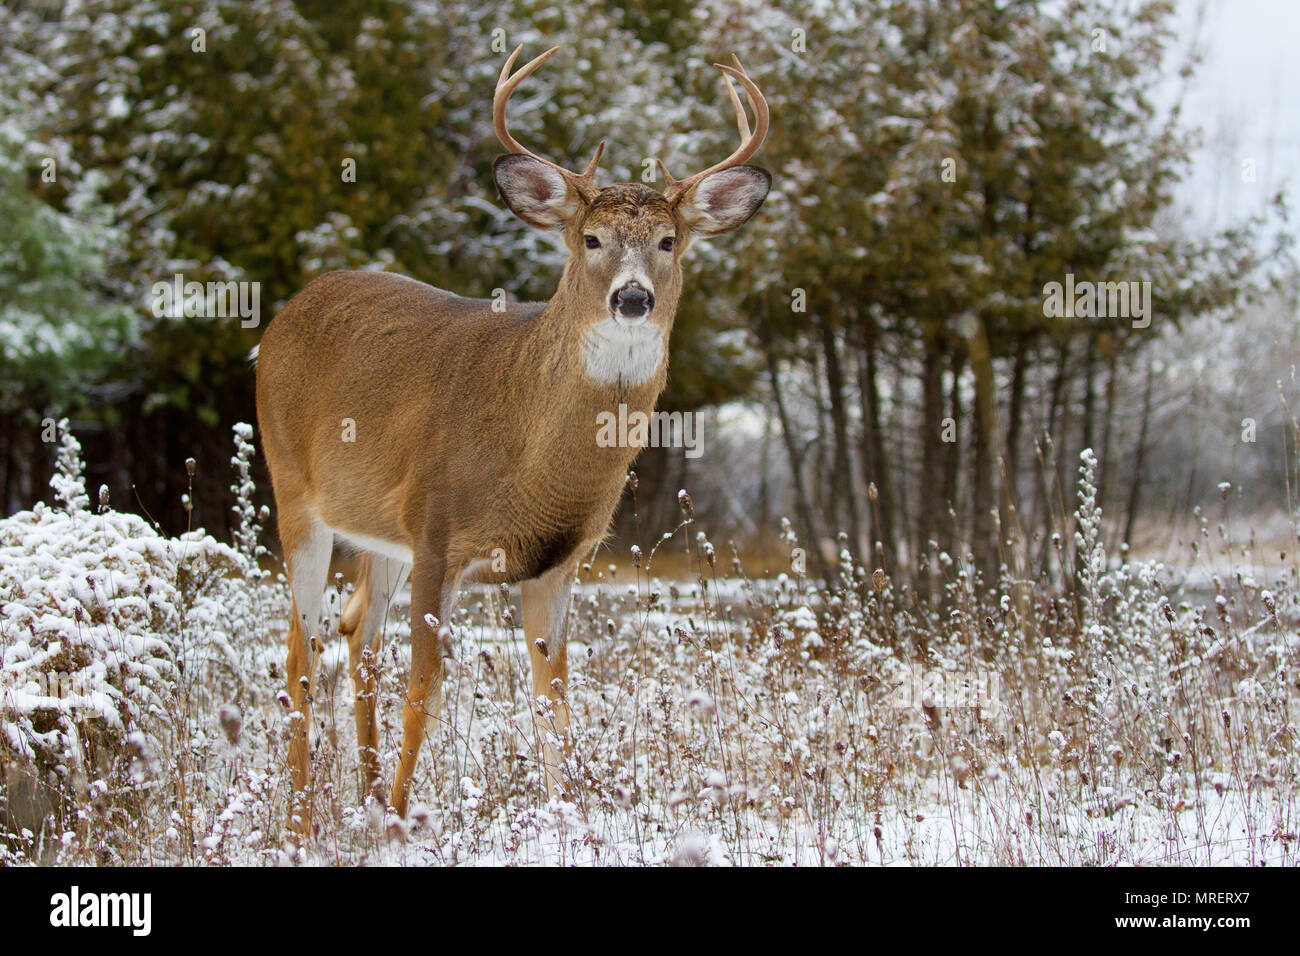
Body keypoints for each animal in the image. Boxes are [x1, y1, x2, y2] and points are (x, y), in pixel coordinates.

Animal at [255, 44, 770, 835]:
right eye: (590, 238)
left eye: (668, 240)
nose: (632, 297)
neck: (530, 454)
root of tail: (284, 316)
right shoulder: (437, 533)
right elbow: (426, 693)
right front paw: (404, 820)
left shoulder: (560, 561)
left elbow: (553, 702)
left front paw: (570, 816)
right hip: (295, 494)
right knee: (298, 650)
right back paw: (308, 819)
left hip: (377, 530)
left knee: (355, 631)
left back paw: (361, 797)